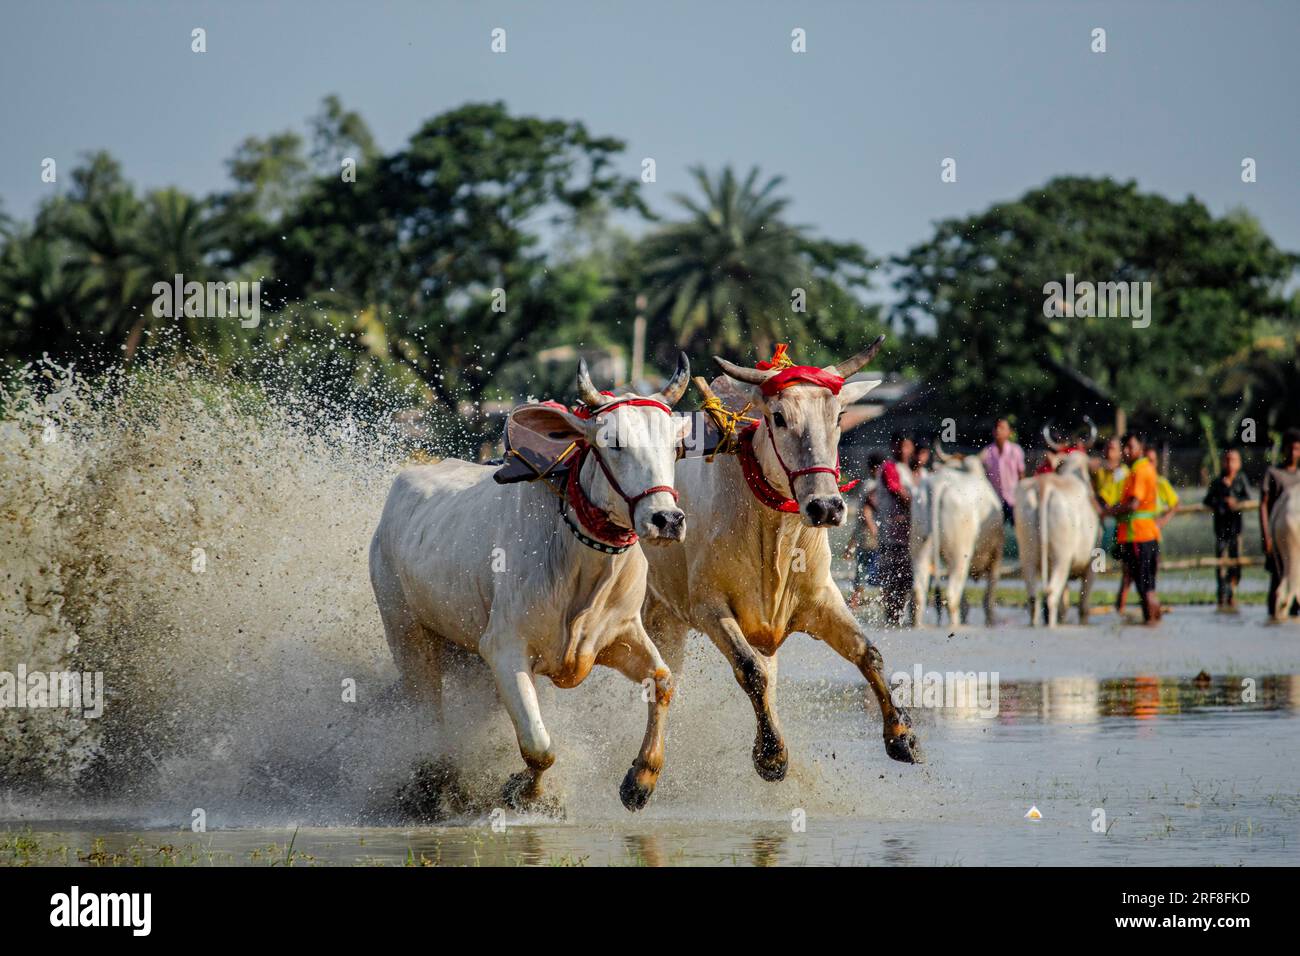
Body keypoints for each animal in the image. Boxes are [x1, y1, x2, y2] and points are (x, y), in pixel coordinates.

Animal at [369, 357, 693, 811]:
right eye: (613, 442)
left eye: (675, 448)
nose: (667, 519)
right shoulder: (503, 648)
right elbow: (539, 746)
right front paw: (527, 792)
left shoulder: (621, 635)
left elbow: (663, 682)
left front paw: (640, 780)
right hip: (406, 633)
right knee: (426, 709)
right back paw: (435, 785)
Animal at [642, 338, 922, 784]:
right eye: (778, 417)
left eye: (838, 416)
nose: (826, 507)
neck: (772, 530)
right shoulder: (709, 608)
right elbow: (751, 670)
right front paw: (772, 754)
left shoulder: (820, 598)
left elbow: (868, 653)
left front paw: (901, 735)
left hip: (667, 619)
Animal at [910, 446, 1005, 627]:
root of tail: (938, 484)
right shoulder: (996, 552)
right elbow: (989, 594)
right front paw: (989, 621)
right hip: (961, 552)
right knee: (951, 594)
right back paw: (955, 624)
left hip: (920, 546)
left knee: (919, 591)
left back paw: (919, 624)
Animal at [1014, 433, 1100, 627]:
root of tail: (1044, 485)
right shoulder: (1092, 564)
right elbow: (1083, 606)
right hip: (1062, 557)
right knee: (1052, 594)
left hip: (1027, 555)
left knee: (1033, 597)